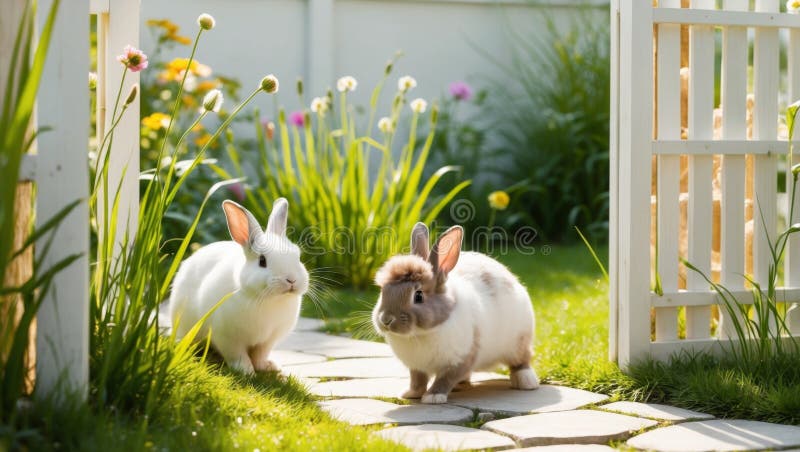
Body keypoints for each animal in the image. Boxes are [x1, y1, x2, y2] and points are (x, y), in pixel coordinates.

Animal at [169, 198, 309, 374]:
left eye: (298, 257)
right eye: (262, 261)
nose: (291, 280)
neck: (268, 300)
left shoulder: (267, 340)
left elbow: (260, 355)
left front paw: (268, 367)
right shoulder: (227, 337)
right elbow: (237, 355)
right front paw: (246, 371)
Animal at [372, 222, 539, 404]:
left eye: (418, 296)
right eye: (383, 291)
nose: (386, 319)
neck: (422, 333)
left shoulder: (461, 359)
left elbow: (445, 379)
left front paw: (433, 397)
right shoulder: (416, 367)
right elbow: (418, 380)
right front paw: (411, 393)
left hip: (519, 340)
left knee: (521, 360)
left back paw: (527, 381)